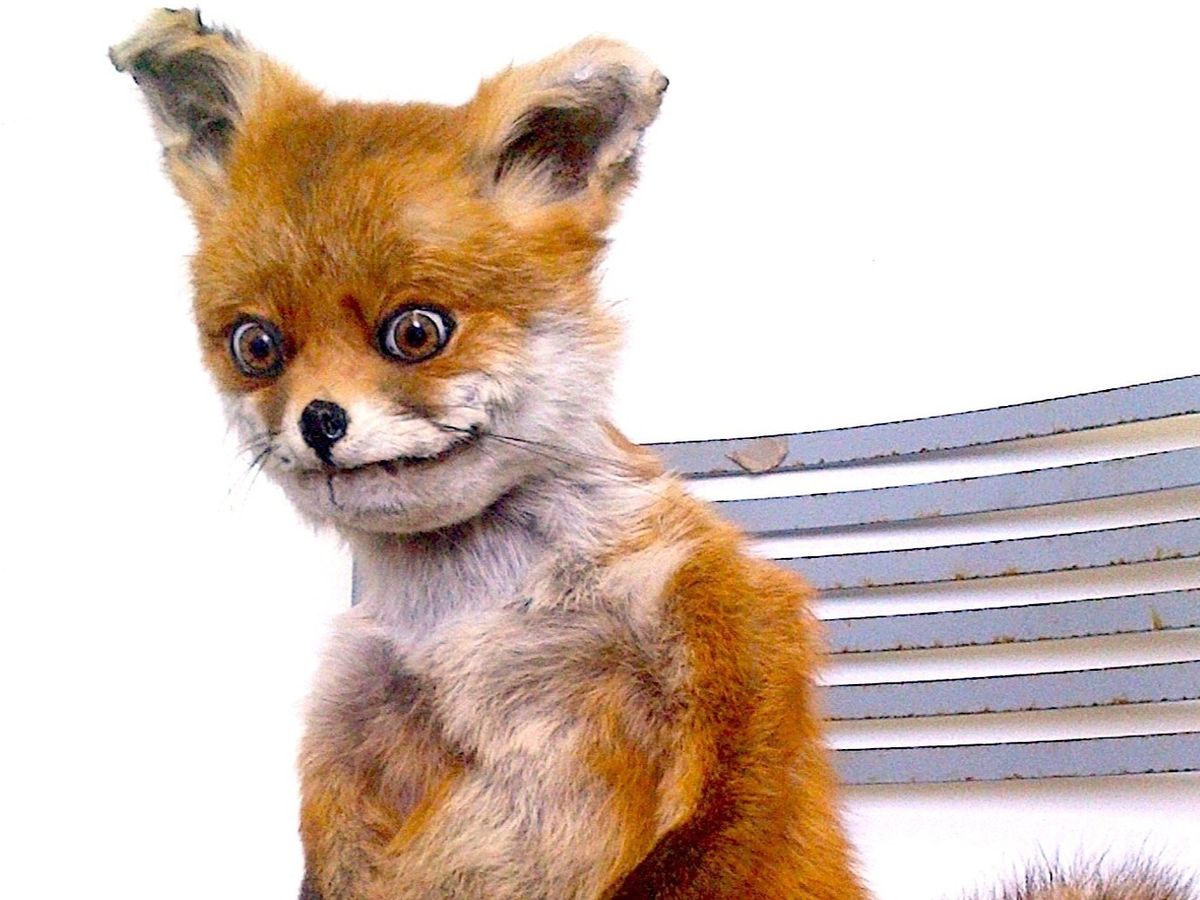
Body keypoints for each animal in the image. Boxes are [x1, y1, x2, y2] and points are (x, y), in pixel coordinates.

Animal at [110, 10, 1195, 900]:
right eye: (257, 346)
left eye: (415, 332)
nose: (320, 422)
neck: (474, 617)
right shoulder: (355, 747)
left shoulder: (727, 650)